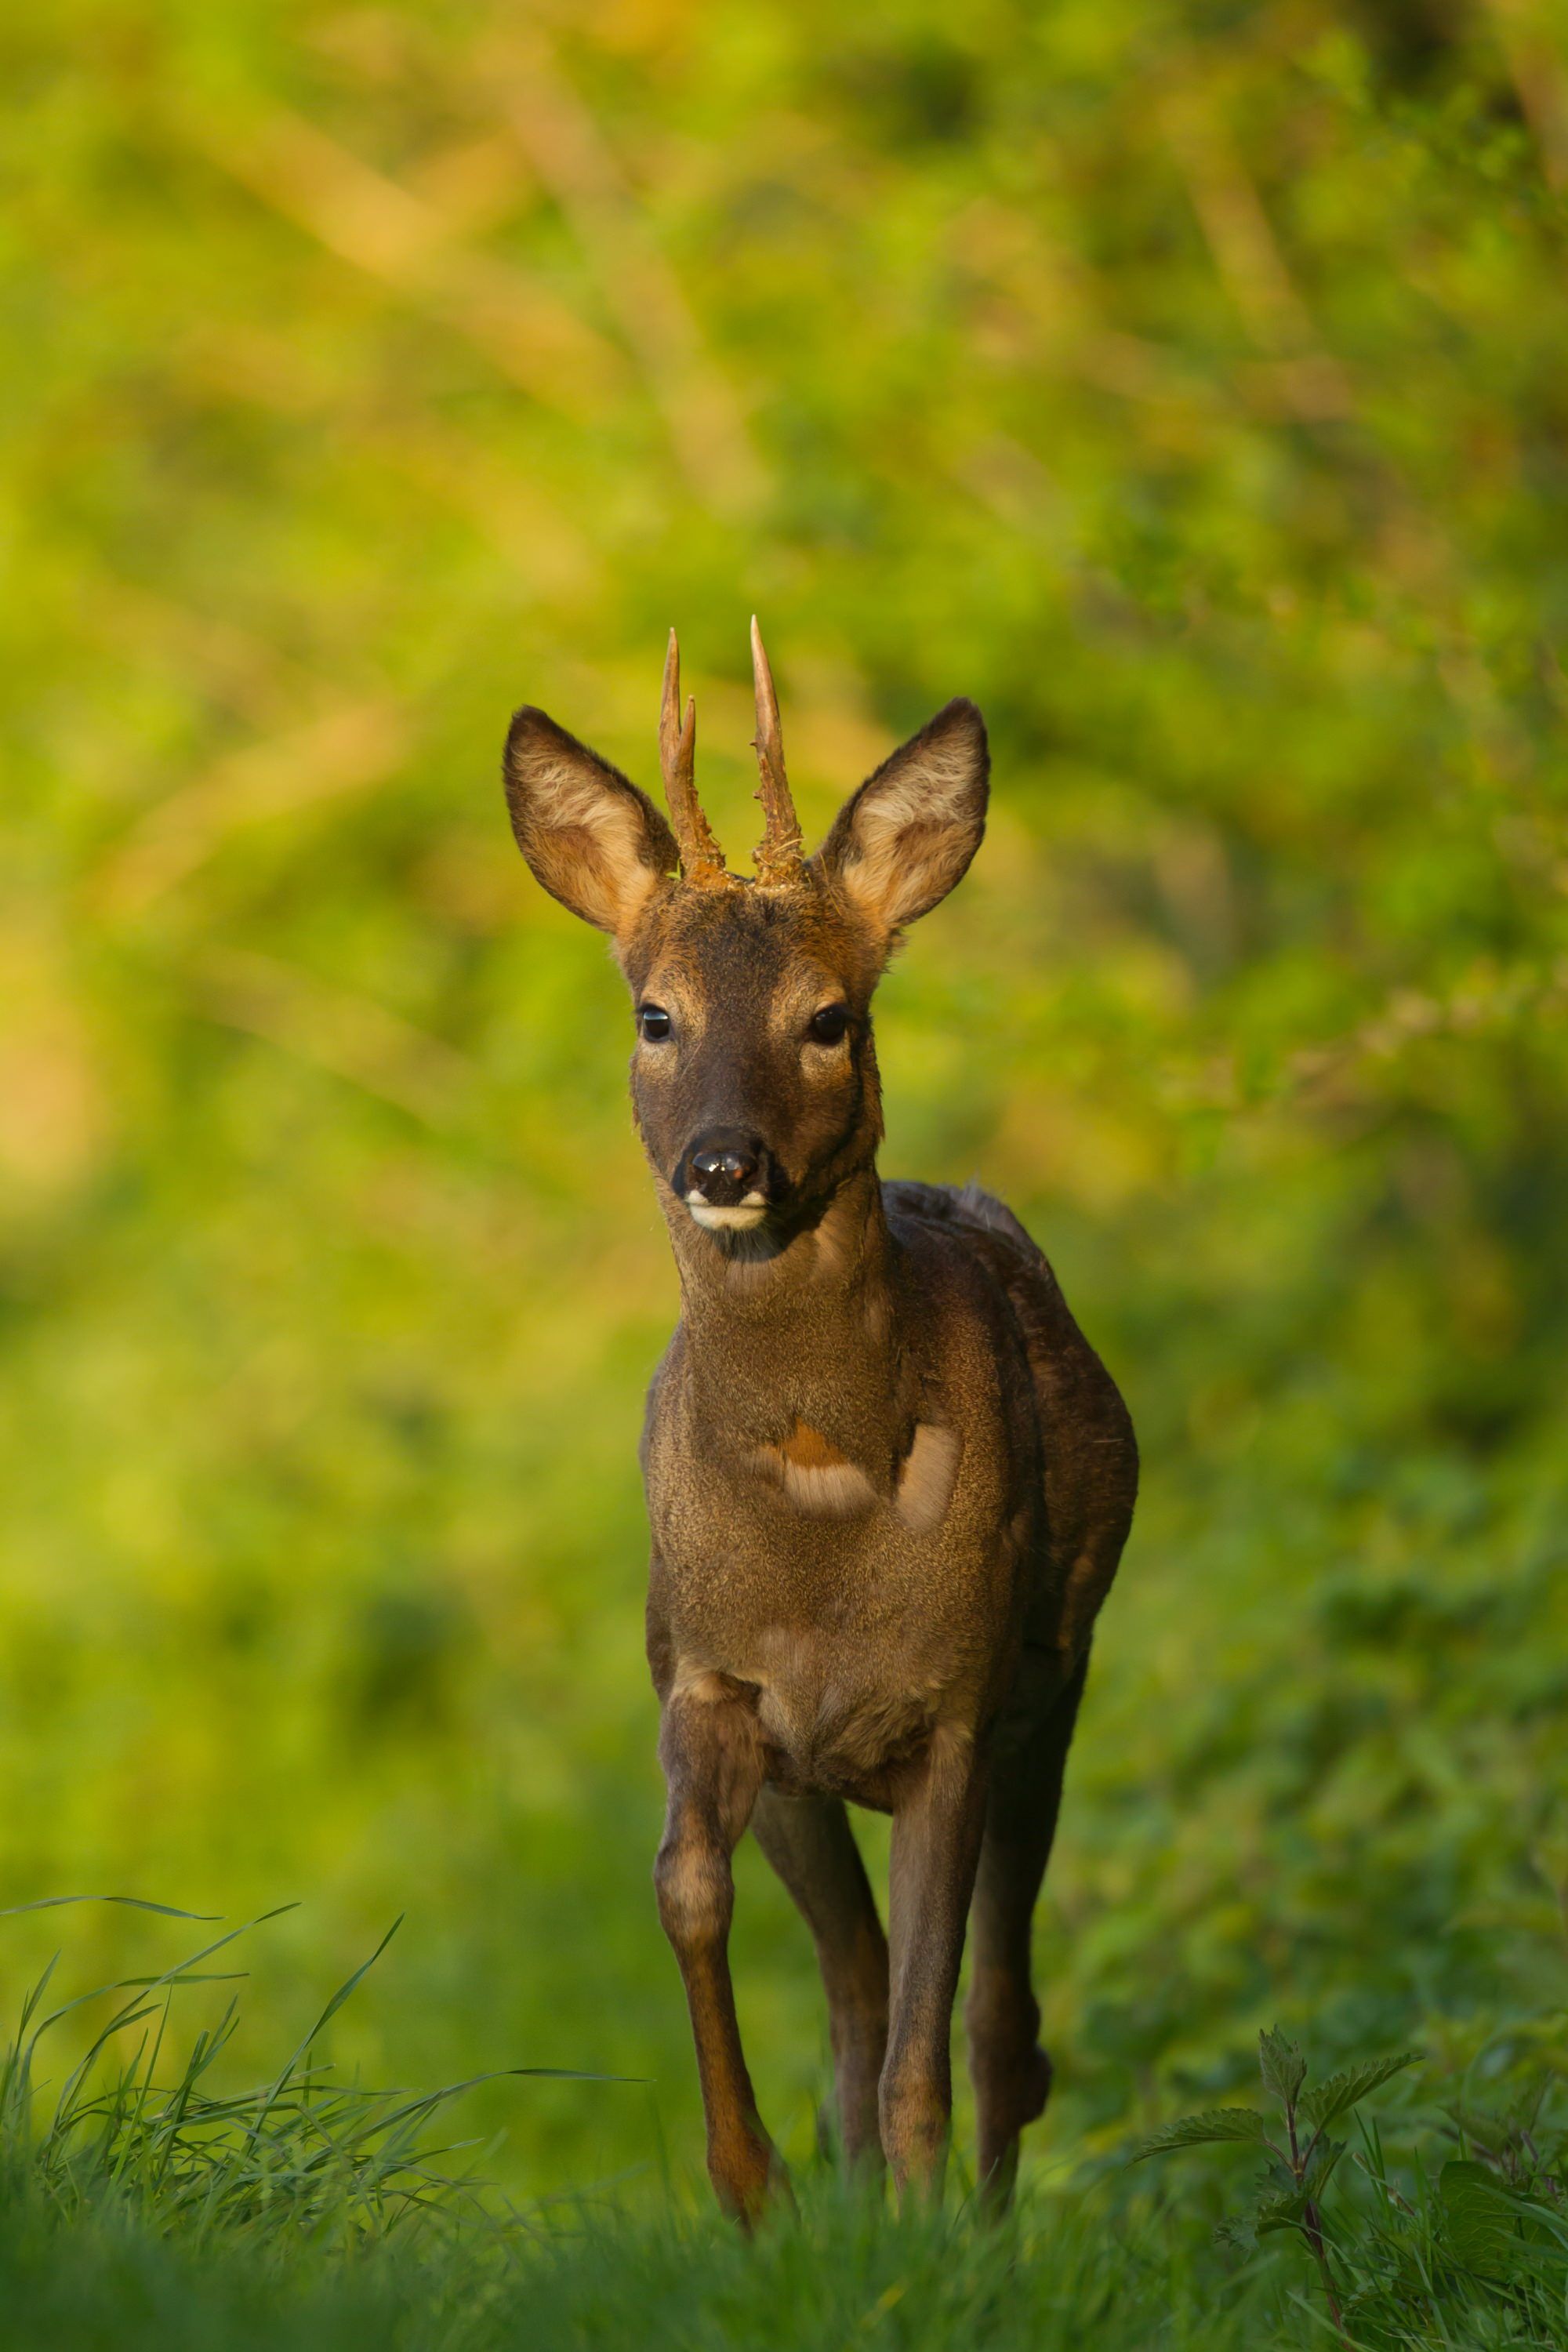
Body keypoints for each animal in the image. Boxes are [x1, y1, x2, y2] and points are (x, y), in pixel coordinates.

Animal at [501, 622, 1137, 2220]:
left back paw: (972, 2213)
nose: (725, 1164)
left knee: (999, 2019)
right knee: (857, 1994)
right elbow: (690, 1893)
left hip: (1061, 1672)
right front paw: (754, 2189)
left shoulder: (961, 1704)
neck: (822, 1523)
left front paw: (922, 2220)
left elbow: (932, 2028)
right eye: (655, 1014)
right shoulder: (707, 1676)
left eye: (828, 1018)